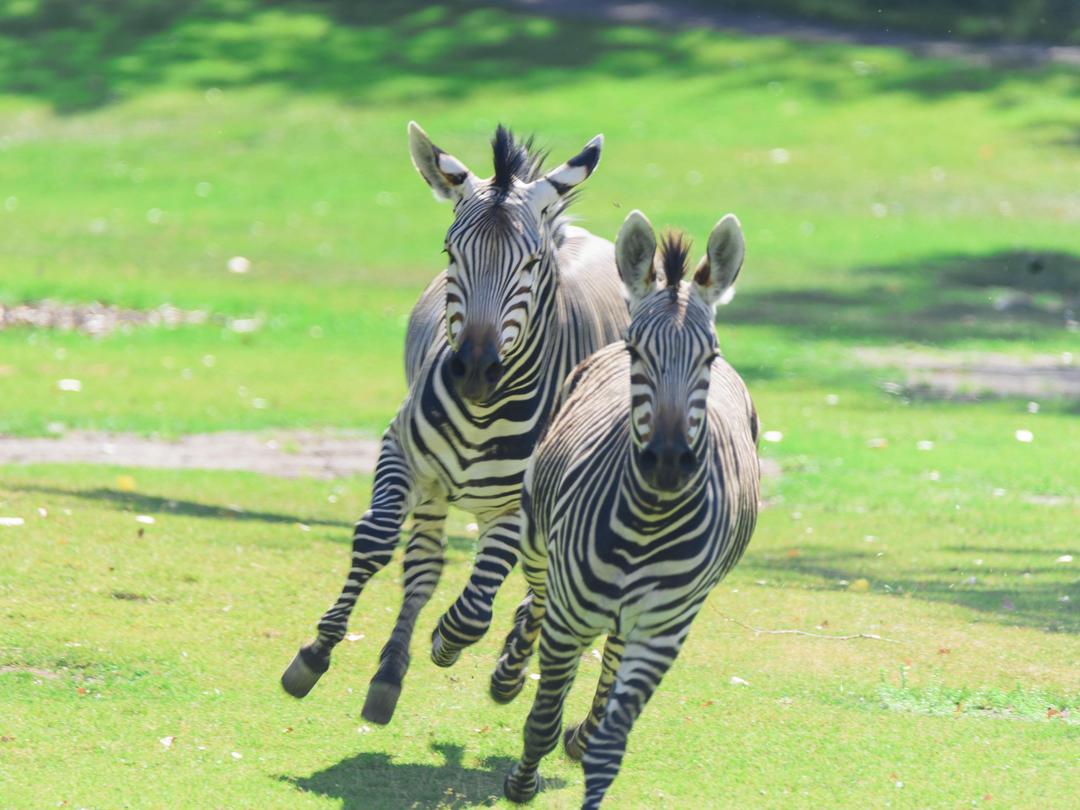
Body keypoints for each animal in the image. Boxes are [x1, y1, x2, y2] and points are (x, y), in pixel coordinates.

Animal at [280, 123, 630, 725]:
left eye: (531, 263)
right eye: (450, 252)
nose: (473, 370)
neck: (485, 411)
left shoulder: (516, 509)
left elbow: (473, 613)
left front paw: (447, 642)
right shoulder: (400, 452)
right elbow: (376, 541)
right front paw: (316, 652)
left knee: (537, 584)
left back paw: (507, 667)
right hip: (436, 488)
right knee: (425, 566)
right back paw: (390, 673)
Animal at [493, 210, 760, 808]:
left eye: (709, 357)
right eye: (640, 353)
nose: (668, 462)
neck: (648, 521)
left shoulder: (663, 632)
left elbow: (610, 744)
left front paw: (586, 743)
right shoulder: (569, 614)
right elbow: (541, 720)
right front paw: (521, 784)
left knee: (608, 655)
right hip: (538, 542)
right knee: (535, 600)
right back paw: (508, 671)